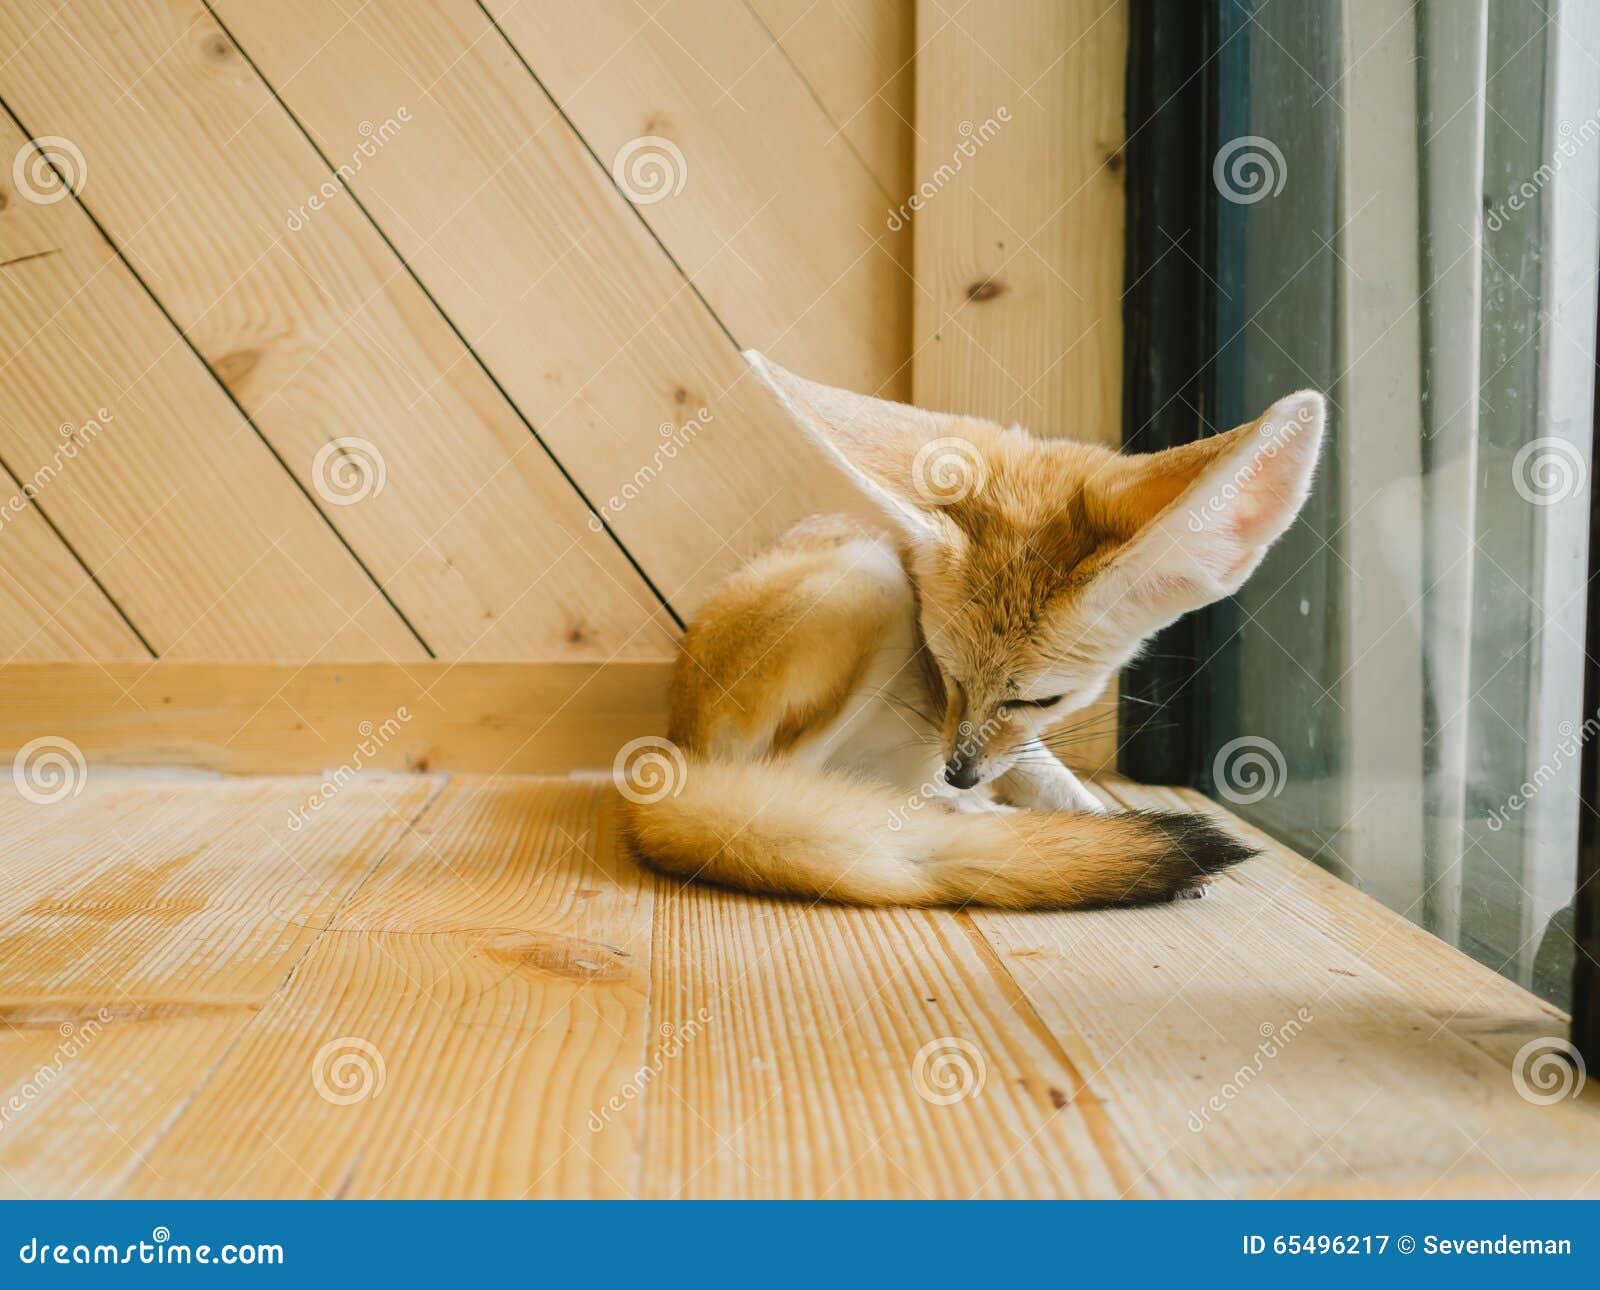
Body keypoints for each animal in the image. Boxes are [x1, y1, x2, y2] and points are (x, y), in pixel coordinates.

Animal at [620, 351, 1325, 910]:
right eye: (944, 668)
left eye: (1044, 698)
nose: (960, 772)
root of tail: (676, 752)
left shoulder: (1008, 737)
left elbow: (1043, 769)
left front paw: (1082, 814)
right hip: (868, 575)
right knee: (793, 787)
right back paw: (958, 815)